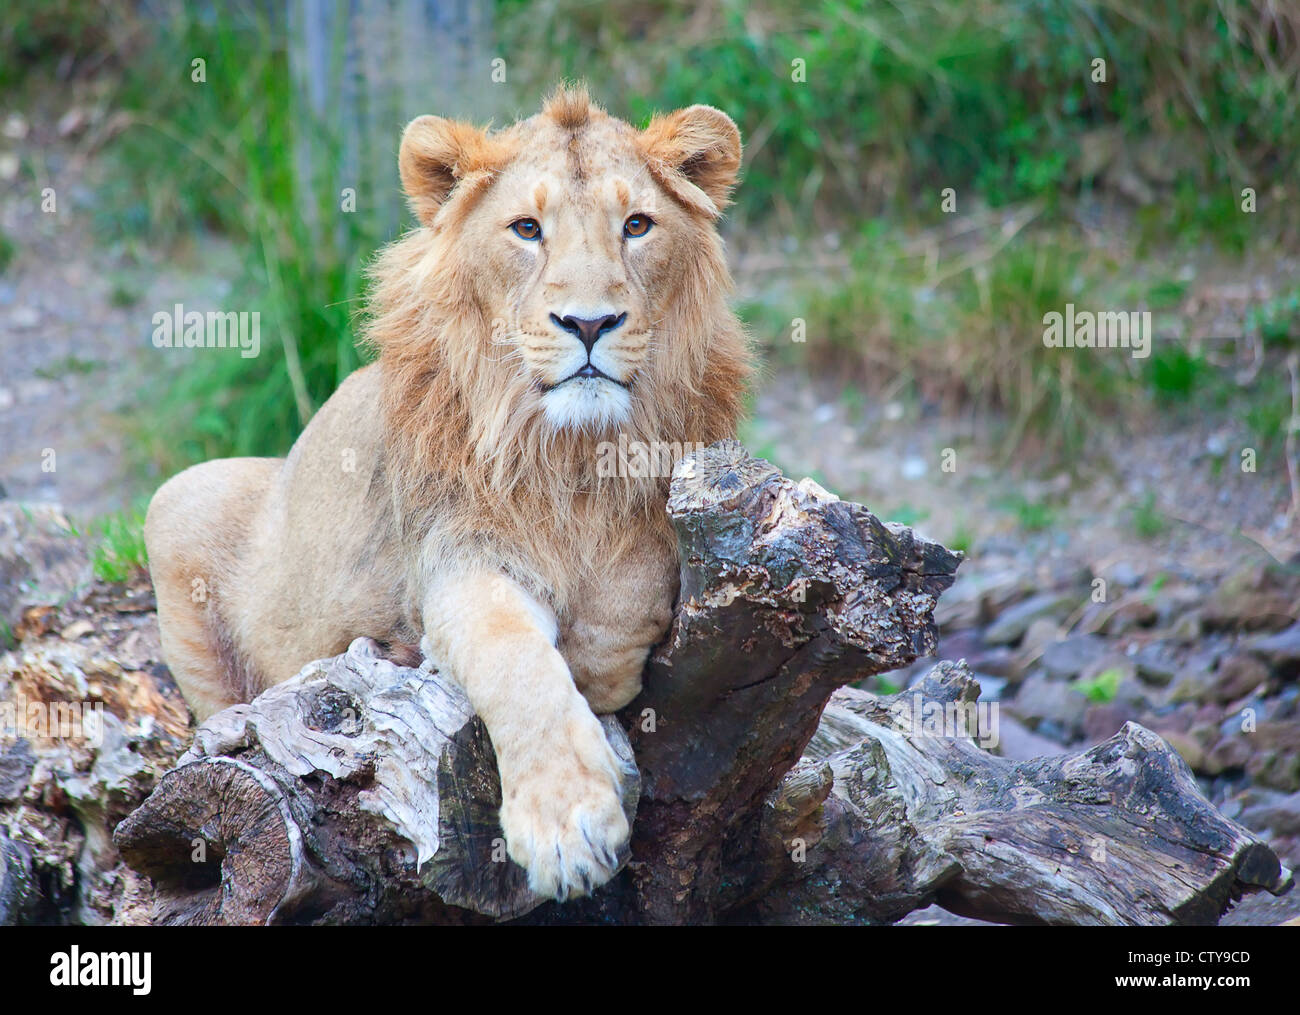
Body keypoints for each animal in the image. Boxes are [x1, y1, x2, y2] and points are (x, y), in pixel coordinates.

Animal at [143, 85, 751, 901]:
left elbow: (626, 589)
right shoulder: (453, 557)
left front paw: (600, 662)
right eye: (527, 229)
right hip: (179, 501)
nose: (589, 323)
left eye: (636, 225)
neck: (572, 450)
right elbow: (513, 660)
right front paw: (568, 826)